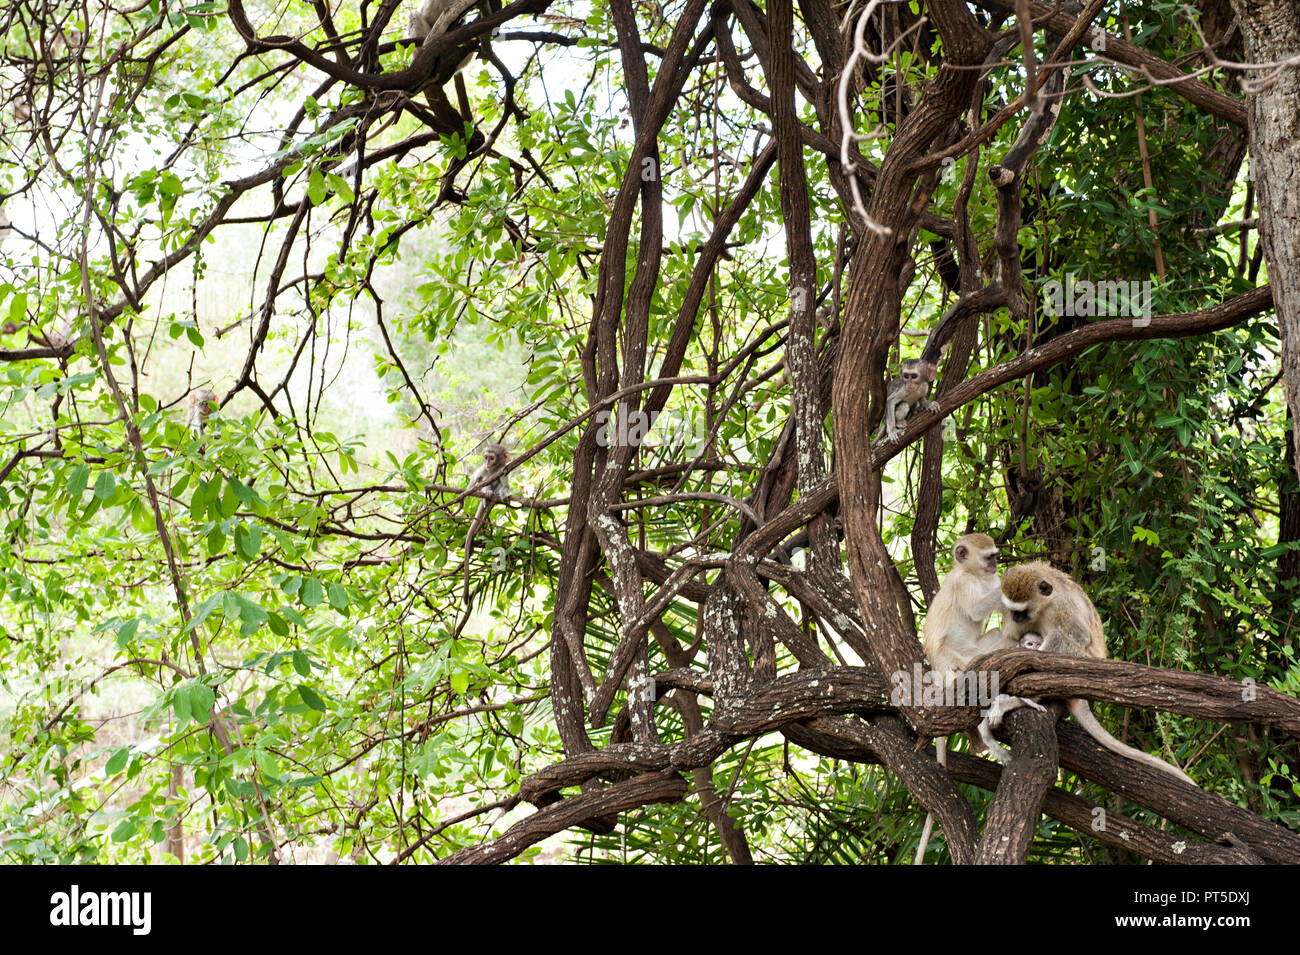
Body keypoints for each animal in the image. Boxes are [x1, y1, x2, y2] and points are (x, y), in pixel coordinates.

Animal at [913, 533, 1044, 863]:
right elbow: (974, 611)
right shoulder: (963, 585)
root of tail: (939, 671)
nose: (997, 564)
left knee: (996, 633)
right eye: (989, 557)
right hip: (958, 661)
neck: (973, 575)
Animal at [997, 562, 1194, 784]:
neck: (1043, 608)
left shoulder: (1063, 606)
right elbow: (1009, 639)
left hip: (1082, 661)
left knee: (1058, 638)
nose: (1016, 617)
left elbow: (1079, 636)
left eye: (1023, 611)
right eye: (1014, 611)